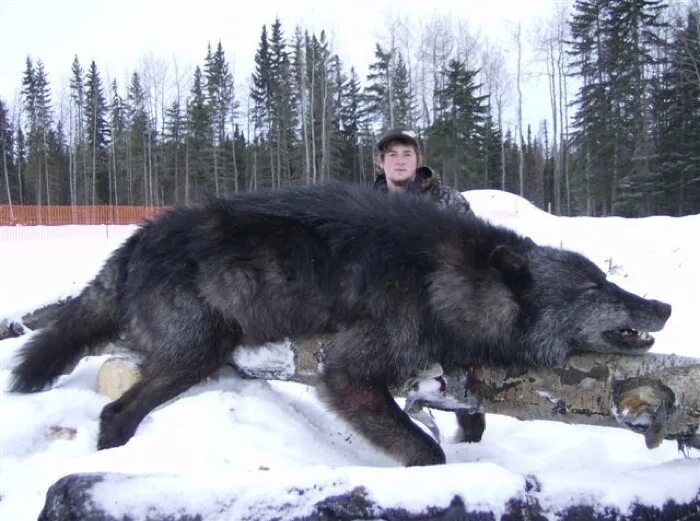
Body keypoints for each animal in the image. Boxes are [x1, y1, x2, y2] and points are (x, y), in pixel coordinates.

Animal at [8, 182, 668, 464]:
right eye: (595, 287)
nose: (663, 307)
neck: (453, 277)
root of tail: (131, 245)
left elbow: (470, 417)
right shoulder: (351, 372)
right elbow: (426, 450)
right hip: (195, 351)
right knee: (116, 412)